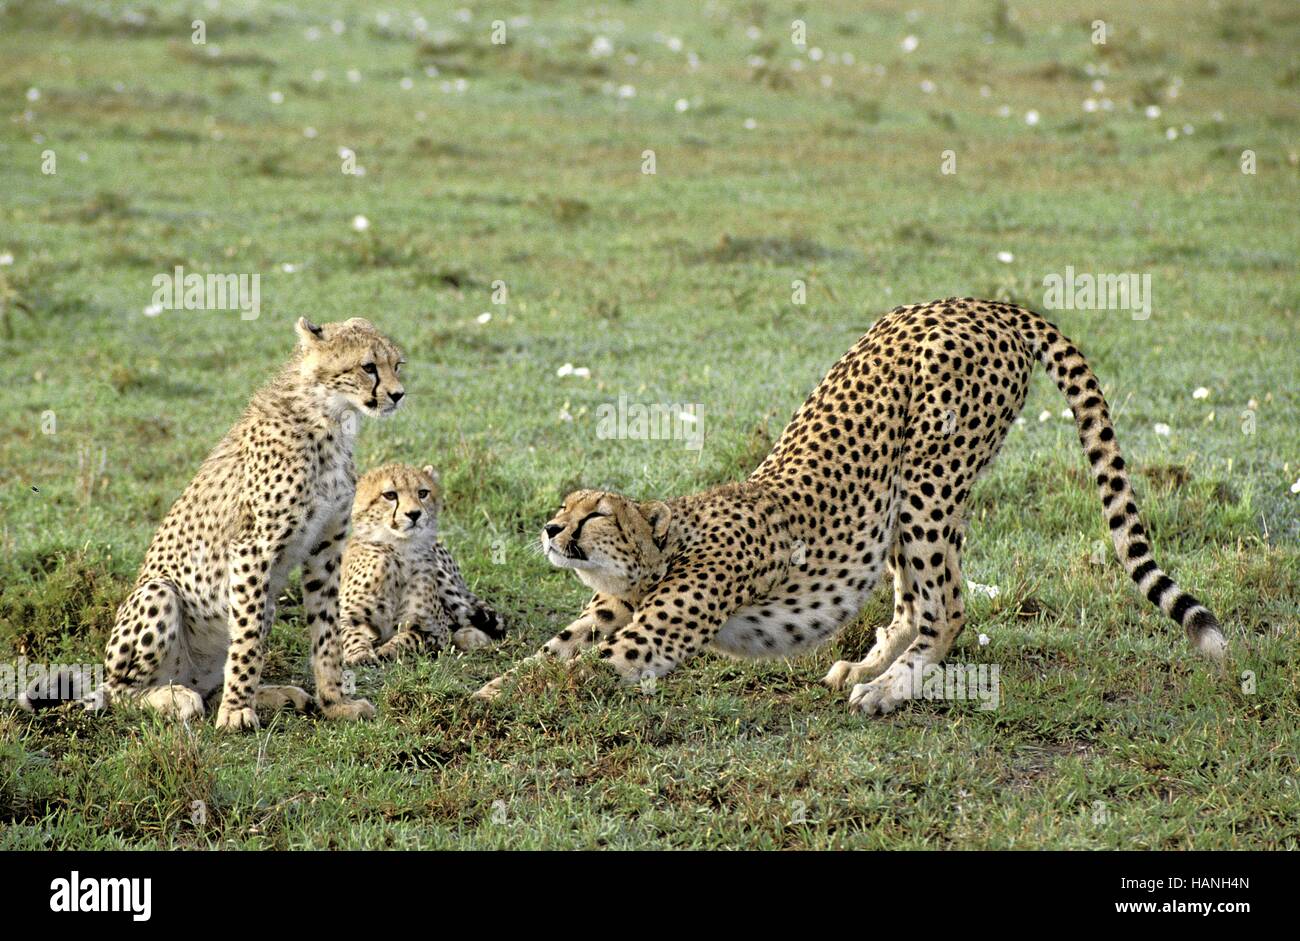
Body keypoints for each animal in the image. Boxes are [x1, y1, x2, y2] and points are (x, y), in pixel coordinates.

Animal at [21, 317, 405, 730]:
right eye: (368, 367)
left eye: (397, 365)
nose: (399, 395)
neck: (330, 417)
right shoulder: (254, 548)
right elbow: (248, 640)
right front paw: (236, 713)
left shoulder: (326, 549)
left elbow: (326, 632)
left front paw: (335, 703)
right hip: (157, 594)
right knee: (122, 693)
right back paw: (174, 698)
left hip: (265, 605)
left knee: (212, 683)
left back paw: (271, 695)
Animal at [340, 462, 506, 664]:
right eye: (390, 495)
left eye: (422, 493)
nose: (414, 514)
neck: (399, 551)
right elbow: (350, 634)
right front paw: (361, 654)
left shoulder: (436, 628)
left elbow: (411, 637)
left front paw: (389, 649)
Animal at [476, 298, 1227, 715]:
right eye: (566, 502)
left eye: (596, 513)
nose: (551, 528)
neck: (665, 546)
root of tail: (985, 303)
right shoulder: (611, 606)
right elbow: (552, 654)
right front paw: (492, 687)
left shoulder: (650, 632)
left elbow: (578, 672)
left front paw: (481, 709)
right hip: (893, 502)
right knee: (912, 599)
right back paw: (869, 667)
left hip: (930, 480)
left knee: (948, 603)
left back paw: (890, 690)